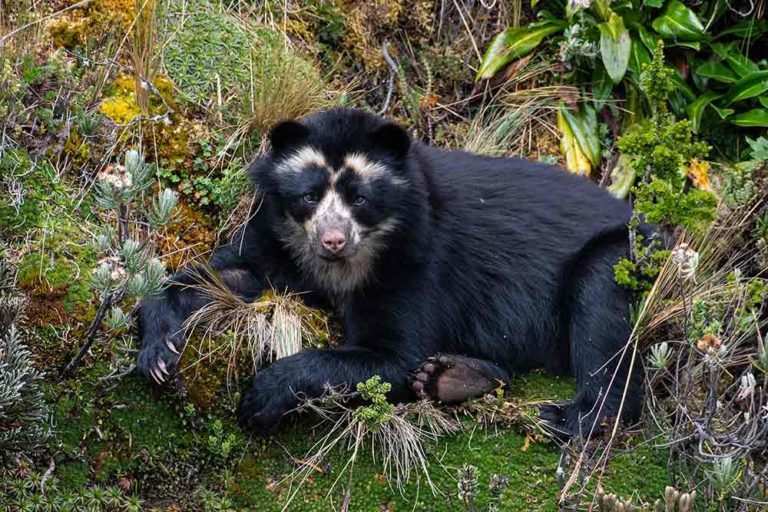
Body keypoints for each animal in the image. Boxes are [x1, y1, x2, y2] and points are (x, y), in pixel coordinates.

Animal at [137, 107, 642, 437]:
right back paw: (450, 378)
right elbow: (229, 276)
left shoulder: (417, 260)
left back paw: (568, 417)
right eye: (308, 196)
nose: (332, 241)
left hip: (620, 257)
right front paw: (158, 353)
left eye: (360, 199)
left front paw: (260, 398)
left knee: (602, 322)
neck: (351, 261)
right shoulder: (280, 239)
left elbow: (392, 355)